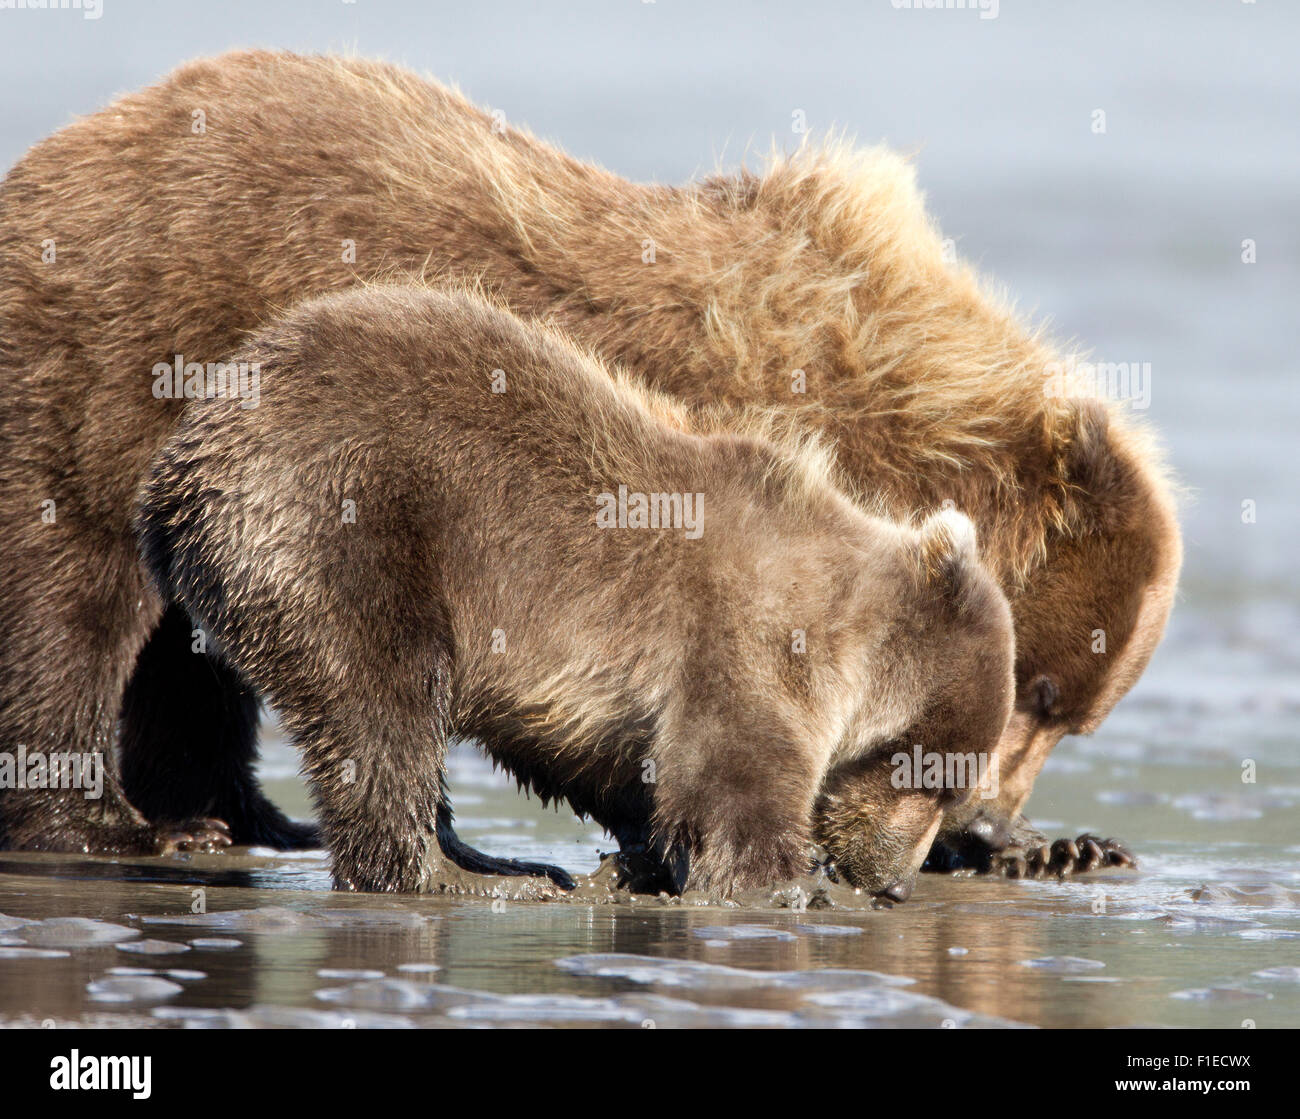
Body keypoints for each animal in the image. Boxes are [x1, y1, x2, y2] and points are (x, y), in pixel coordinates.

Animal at [135, 283, 1016, 898]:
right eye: (931, 775)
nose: (895, 880)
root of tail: (177, 471)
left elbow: (616, 767)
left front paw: (642, 860)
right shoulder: (745, 643)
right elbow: (731, 778)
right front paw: (788, 880)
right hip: (342, 527)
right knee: (379, 706)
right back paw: (464, 871)